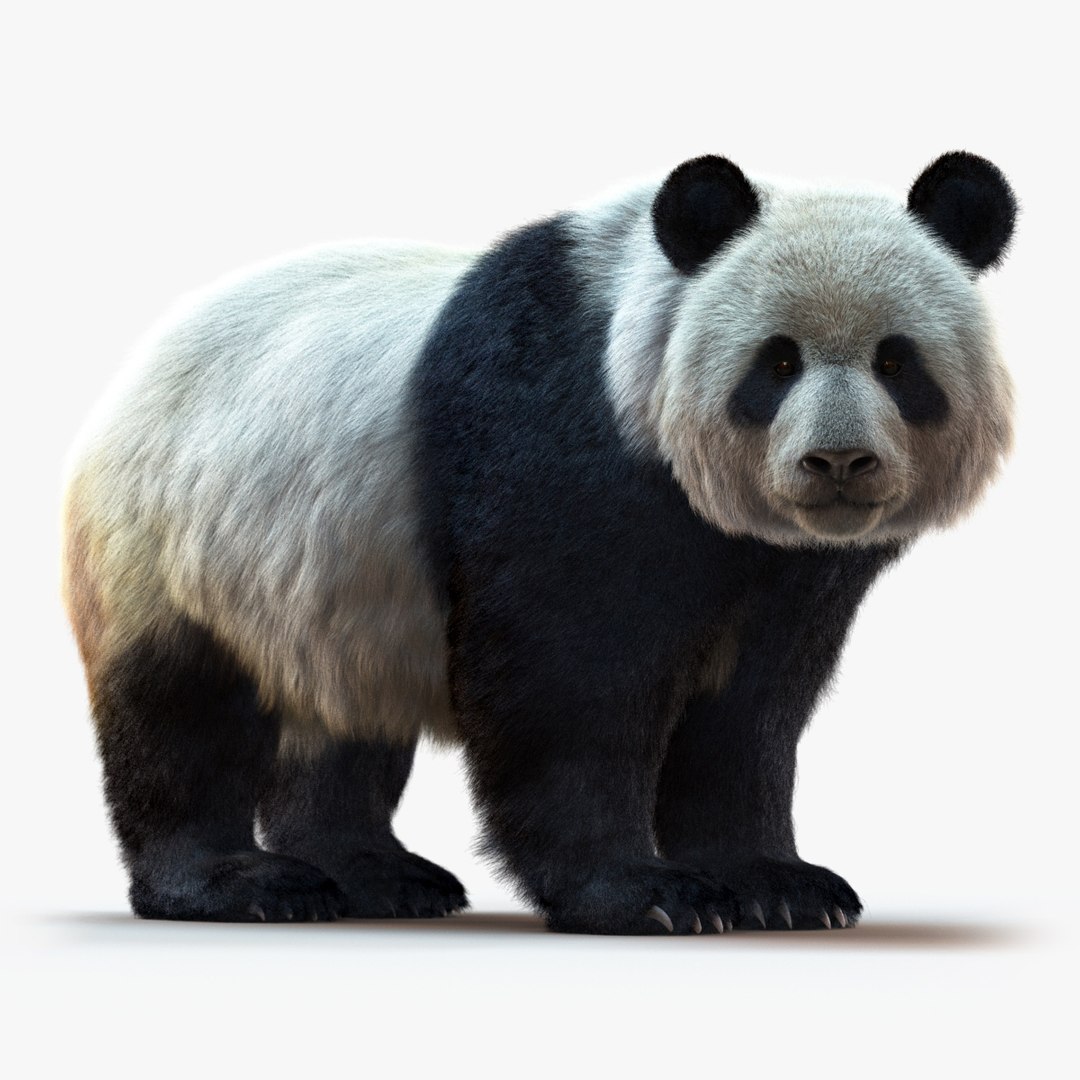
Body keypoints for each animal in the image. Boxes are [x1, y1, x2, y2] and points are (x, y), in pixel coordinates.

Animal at [62, 151, 1017, 934]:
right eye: (776, 362)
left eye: (897, 361)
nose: (838, 462)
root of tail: (131, 376)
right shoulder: (557, 442)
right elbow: (566, 680)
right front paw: (641, 893)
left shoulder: (793, 571)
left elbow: (750, 707)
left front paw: (777, 885)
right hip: (181, 534)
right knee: (185, 706)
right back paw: (239, 883)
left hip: (329, 580)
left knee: (343, 713)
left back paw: (373, 874)